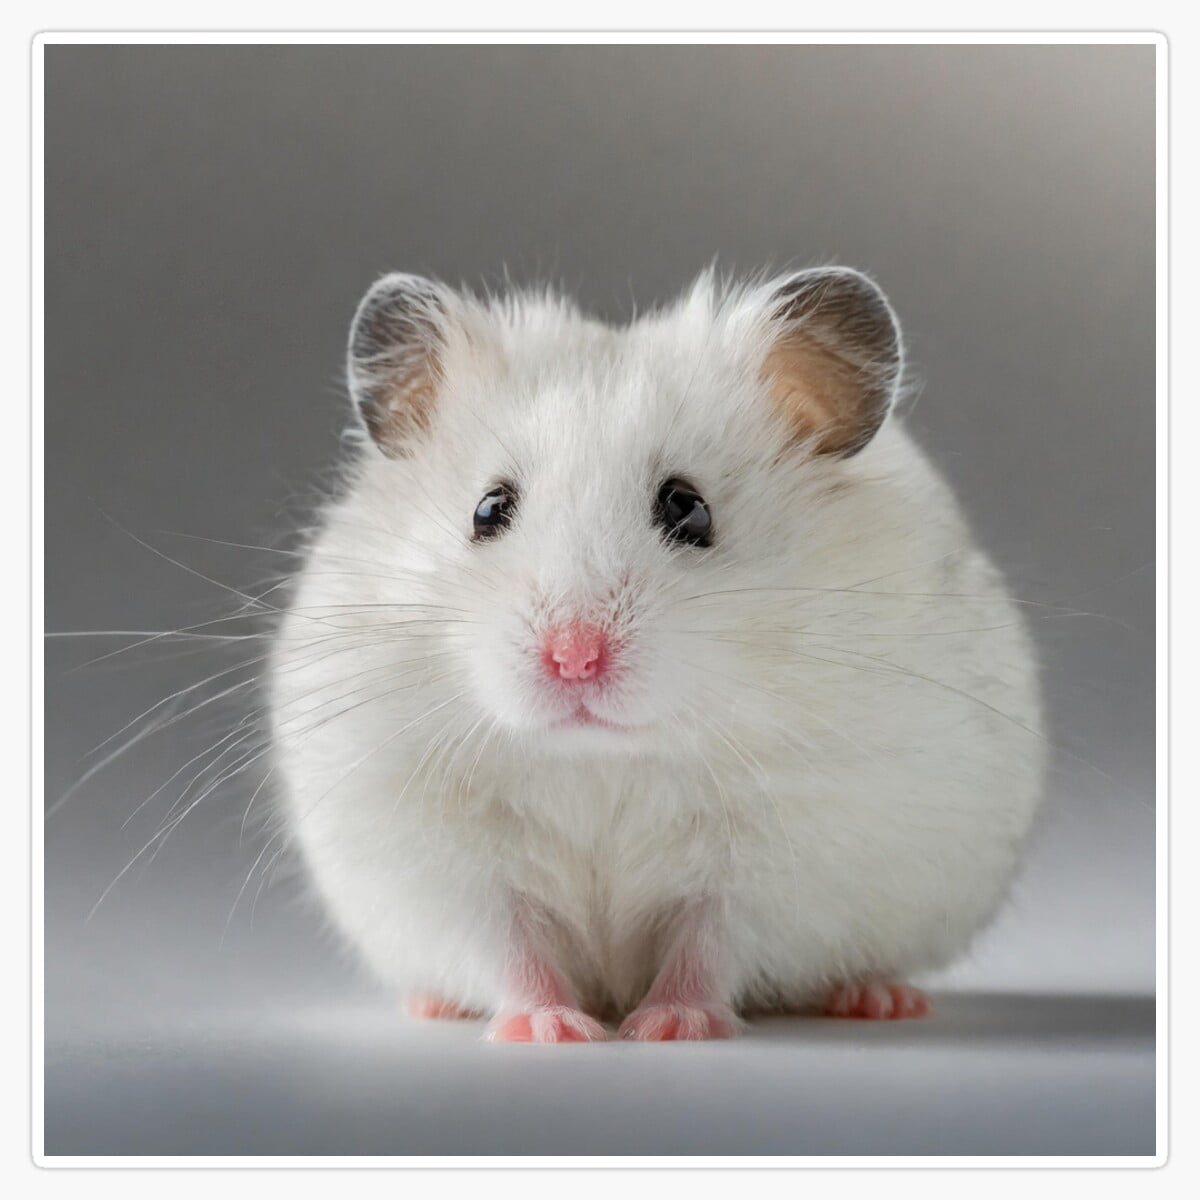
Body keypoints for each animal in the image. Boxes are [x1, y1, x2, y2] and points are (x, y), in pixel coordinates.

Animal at [268, 267, 1046, 1042]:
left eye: (688, 508)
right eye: (488, 509)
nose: (574, 658)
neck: (601, 760)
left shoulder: (775, 857)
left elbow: (709, 942)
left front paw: (671, 1027)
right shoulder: (445, 856)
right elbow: (512, 944)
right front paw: (550, 1031)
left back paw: (879, 999)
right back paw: (433, 1005)